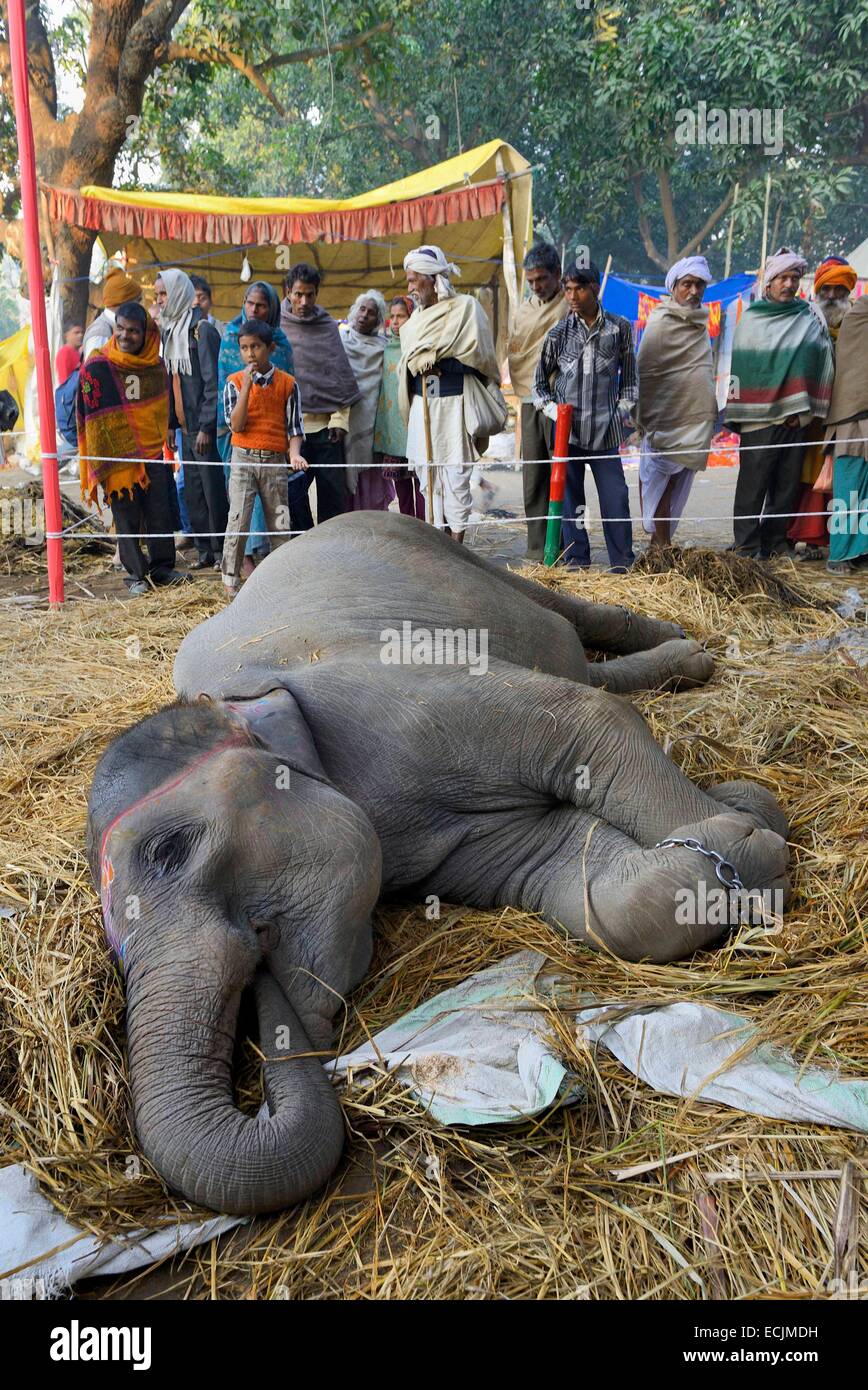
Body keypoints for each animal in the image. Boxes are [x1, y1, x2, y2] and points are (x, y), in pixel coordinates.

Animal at [87, 511, 789, 1216]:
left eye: (170, 851)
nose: (260, 1006)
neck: (234, 703)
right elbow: (577, 880)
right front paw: (738, 821)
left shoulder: (390, 698)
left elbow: (580, 722)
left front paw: (753, 838)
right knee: (584, 673)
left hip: (439, 546)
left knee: (566, 626)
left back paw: (684, 649)